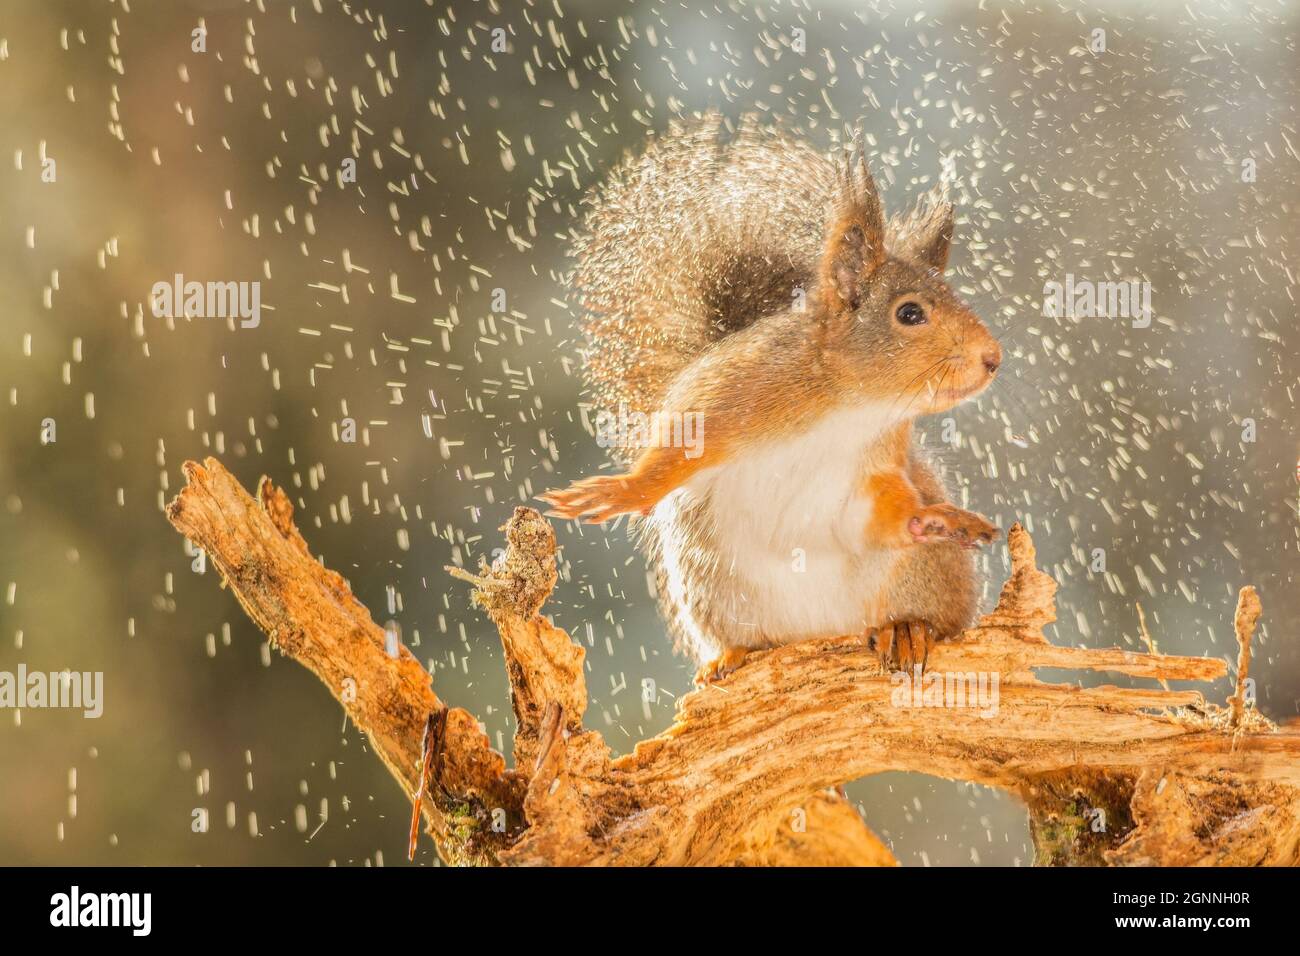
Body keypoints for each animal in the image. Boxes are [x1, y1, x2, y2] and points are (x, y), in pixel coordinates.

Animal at [541, 114, 1003, 684]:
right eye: (910, 313)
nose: (993, 358)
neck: (853, 408)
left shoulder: (872, 472)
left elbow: (882, 519)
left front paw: (934, 520)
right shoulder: (726, 393)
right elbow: (673, 448)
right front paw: (623, 490)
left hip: (918, 578)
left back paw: (909, 627)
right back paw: (734, 655)